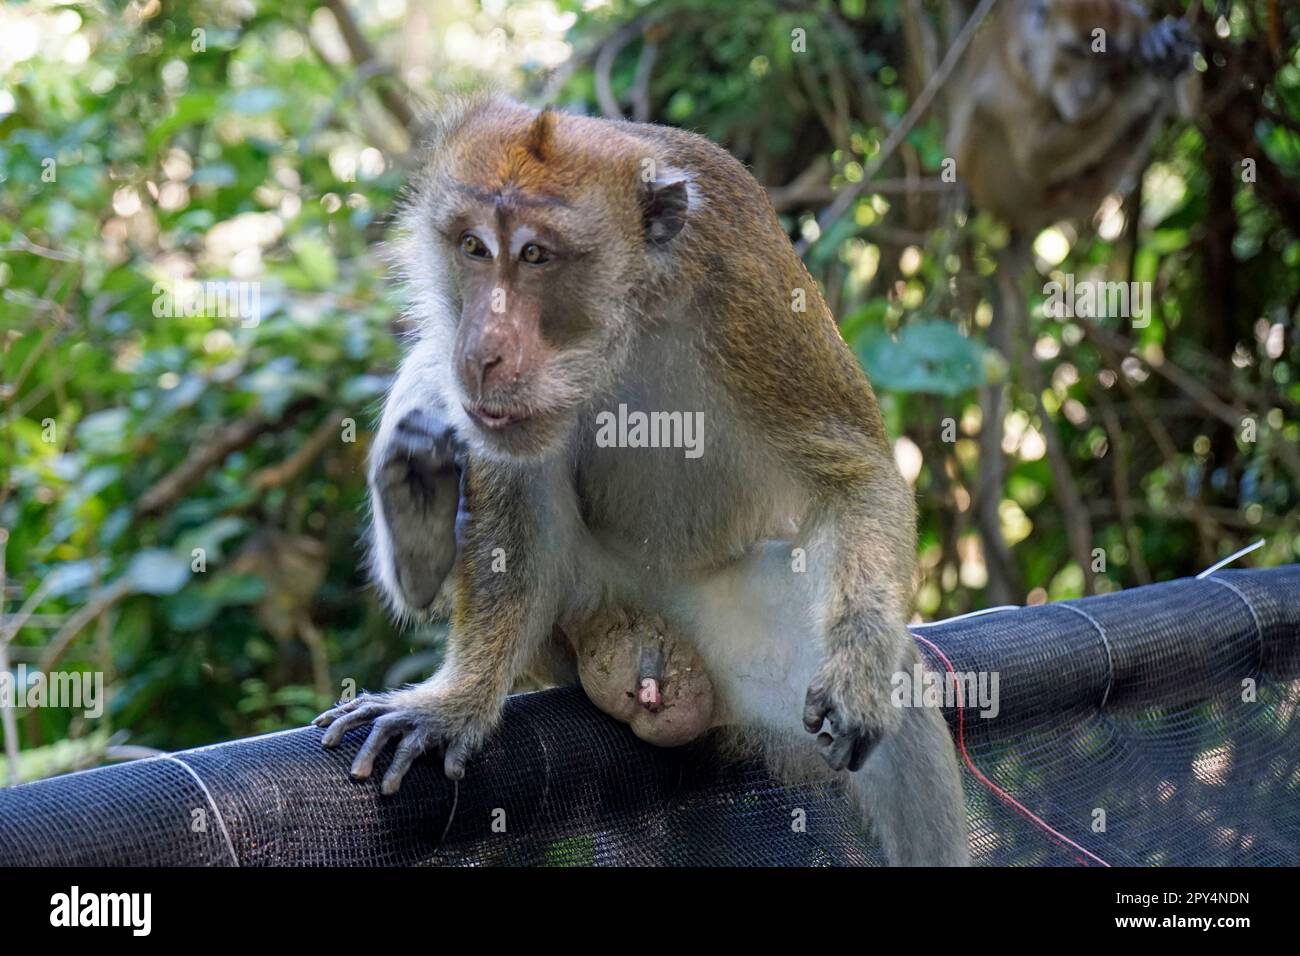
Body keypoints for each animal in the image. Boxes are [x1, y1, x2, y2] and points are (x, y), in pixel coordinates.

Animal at [313, 94, 970, 866]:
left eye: (535, 255)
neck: (633, 312)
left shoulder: (753, 295)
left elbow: (857, 474)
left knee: (898, 708)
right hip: (577, 608)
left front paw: (860, 674)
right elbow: (515, 508)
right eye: (472, 247)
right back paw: (416, 500)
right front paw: (456, 704)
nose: (480, 354)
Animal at [948, 0, 1200, 236]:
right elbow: (1034, 156)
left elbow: (1184, 107)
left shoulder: (1136, 21)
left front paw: (1159, 43)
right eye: (1074, 52)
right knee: (983, 116)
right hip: (1005, 194)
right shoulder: (1012, 73)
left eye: (1108, 59)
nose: (1086, 92)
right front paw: (1137, 84)